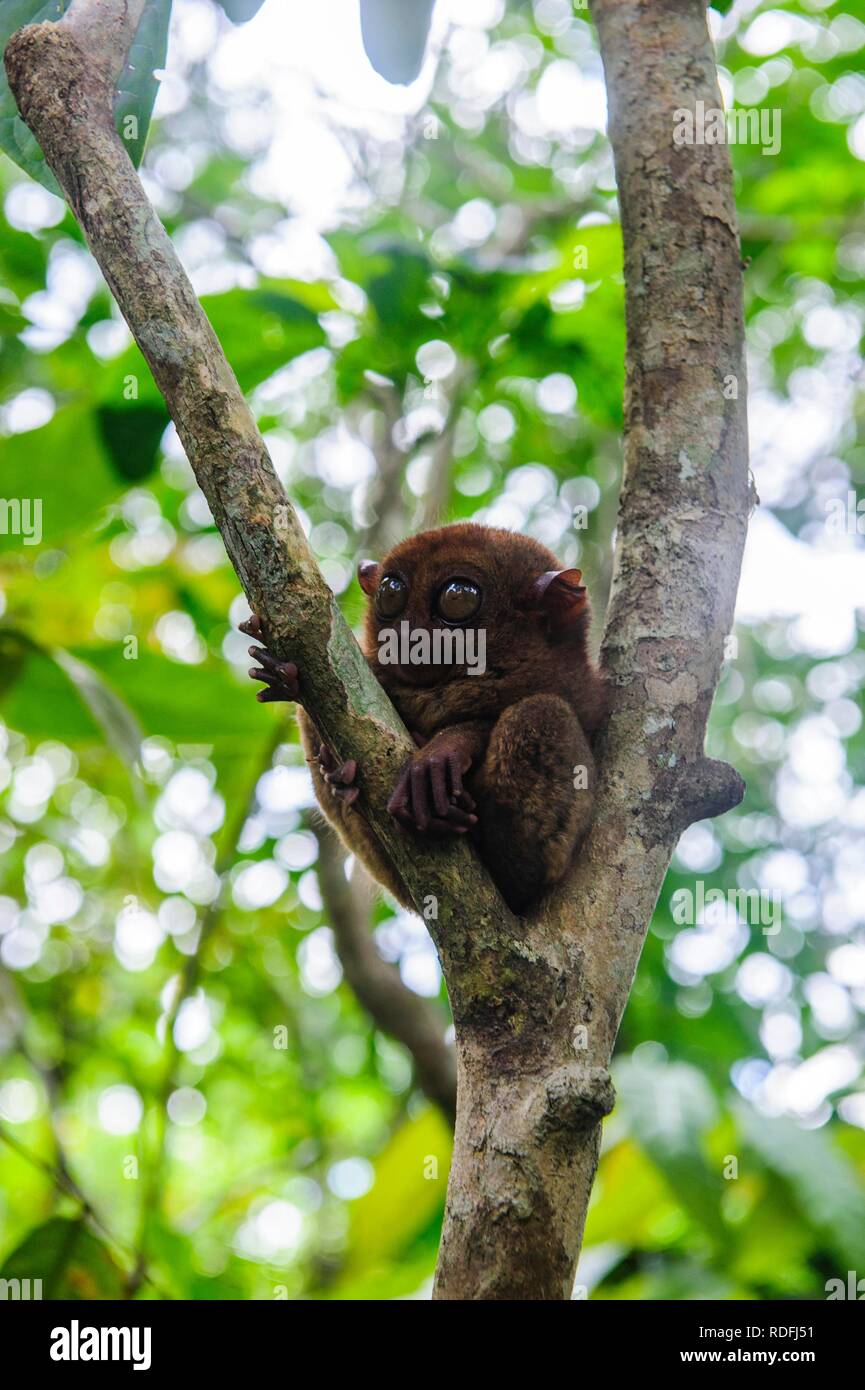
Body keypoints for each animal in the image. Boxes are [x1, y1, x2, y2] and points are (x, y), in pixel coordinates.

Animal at [241, 524, 608, 914]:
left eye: (458, 597)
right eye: (391, 592)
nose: (405, 635)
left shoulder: (580, 691)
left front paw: (443, 752)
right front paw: (287, 677)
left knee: (541, 712)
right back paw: (343, 776)